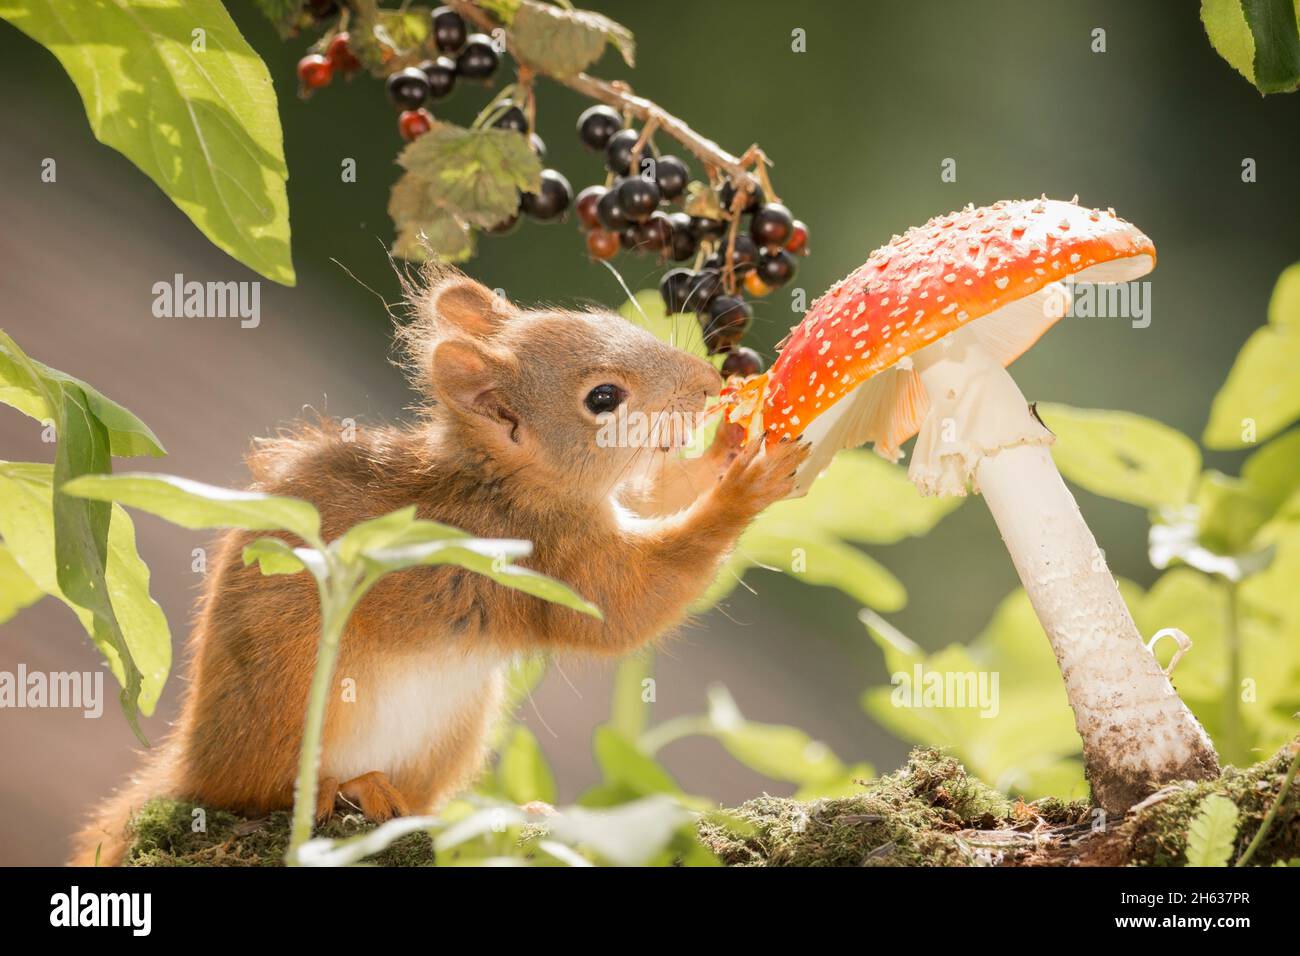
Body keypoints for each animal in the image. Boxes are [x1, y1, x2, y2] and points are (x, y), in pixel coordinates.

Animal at [70, 268, 808, 866]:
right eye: (603, 398)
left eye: (613, 319)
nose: (710, 384)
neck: (500, 481)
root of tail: (193, 765)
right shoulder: (536, 557)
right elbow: (624, 608)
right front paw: (743, 487)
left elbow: (657, 498)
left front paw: (731, 440)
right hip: (296, 703)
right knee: (260, 791)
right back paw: (348, 786)